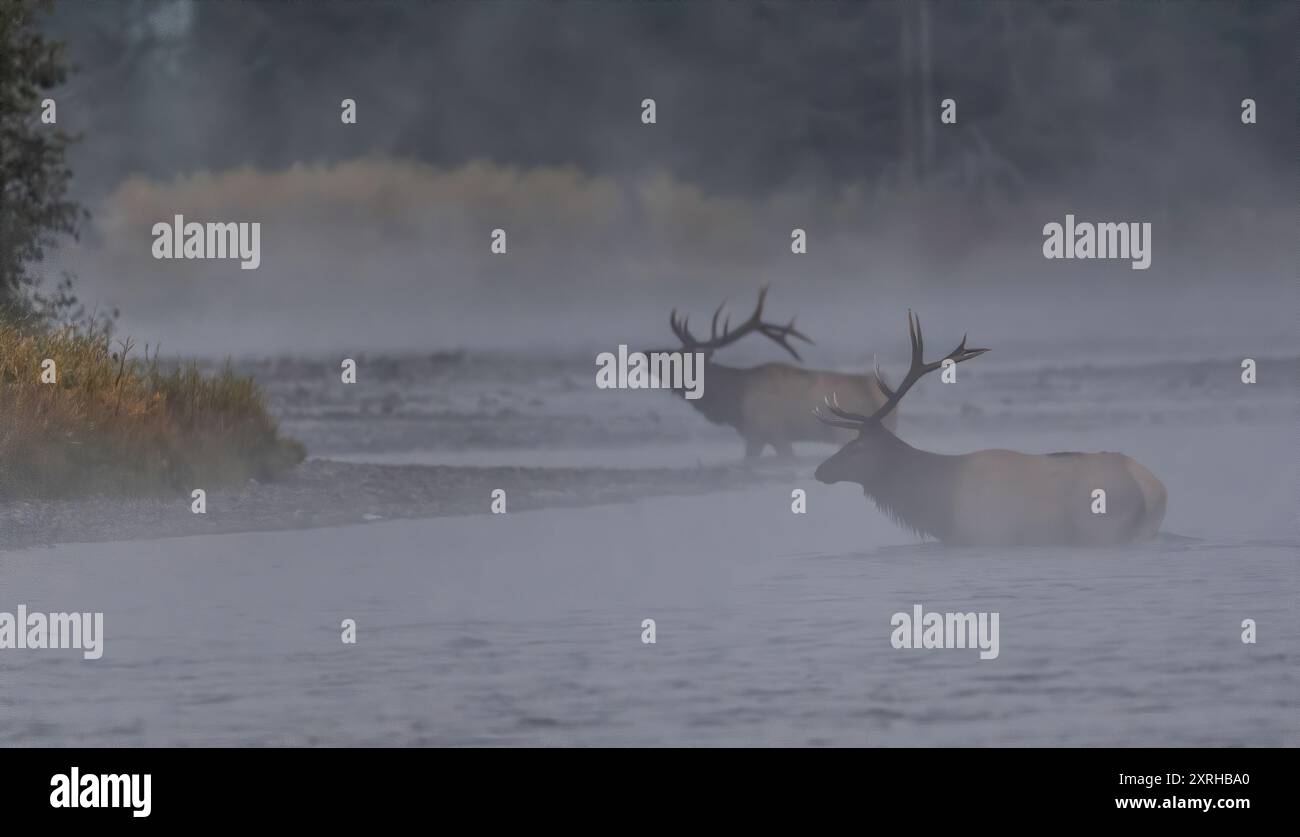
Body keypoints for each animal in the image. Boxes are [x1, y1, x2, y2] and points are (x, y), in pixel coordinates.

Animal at [813, 311, 1166, 547]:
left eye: (857, 447)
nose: (819, 470)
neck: (936, 501)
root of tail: (1154, 488)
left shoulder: (982, 535)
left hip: (1108, 527)